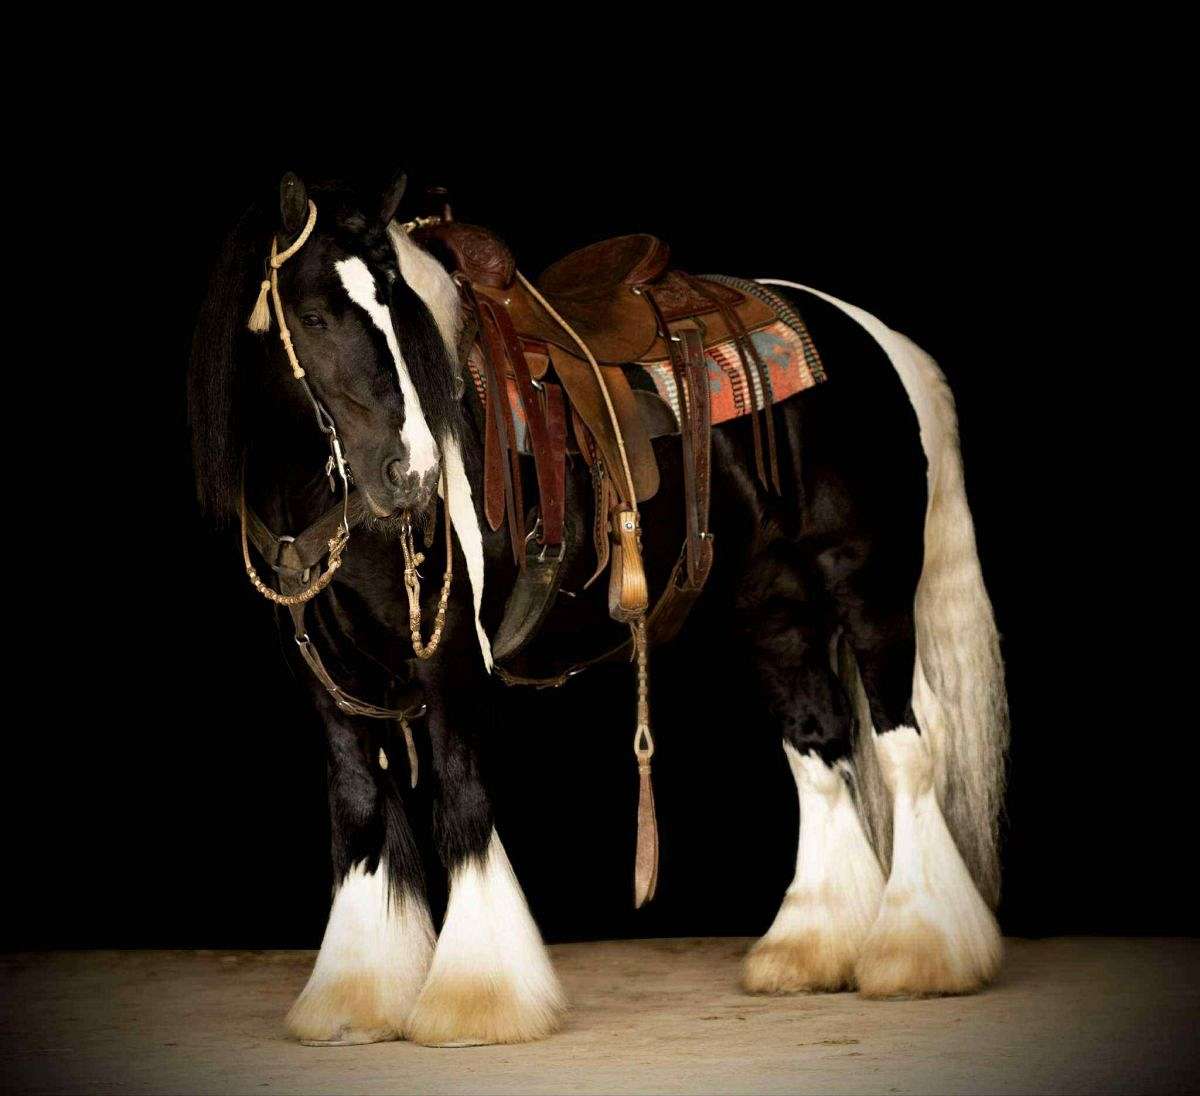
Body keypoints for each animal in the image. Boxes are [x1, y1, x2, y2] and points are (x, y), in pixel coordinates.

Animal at [188, 170, 1007, 1047]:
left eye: (401, 314)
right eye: (312, 317)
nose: (409, 474)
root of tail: (879, 340)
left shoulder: (450, 668)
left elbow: (462, 801)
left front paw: (478, 998)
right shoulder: (333, 692)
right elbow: (361, 813)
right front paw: (353, 999)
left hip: (866, 588)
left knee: (907, 749)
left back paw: (922, 955)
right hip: (774, 608)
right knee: (819, 748)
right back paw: (810, 950)